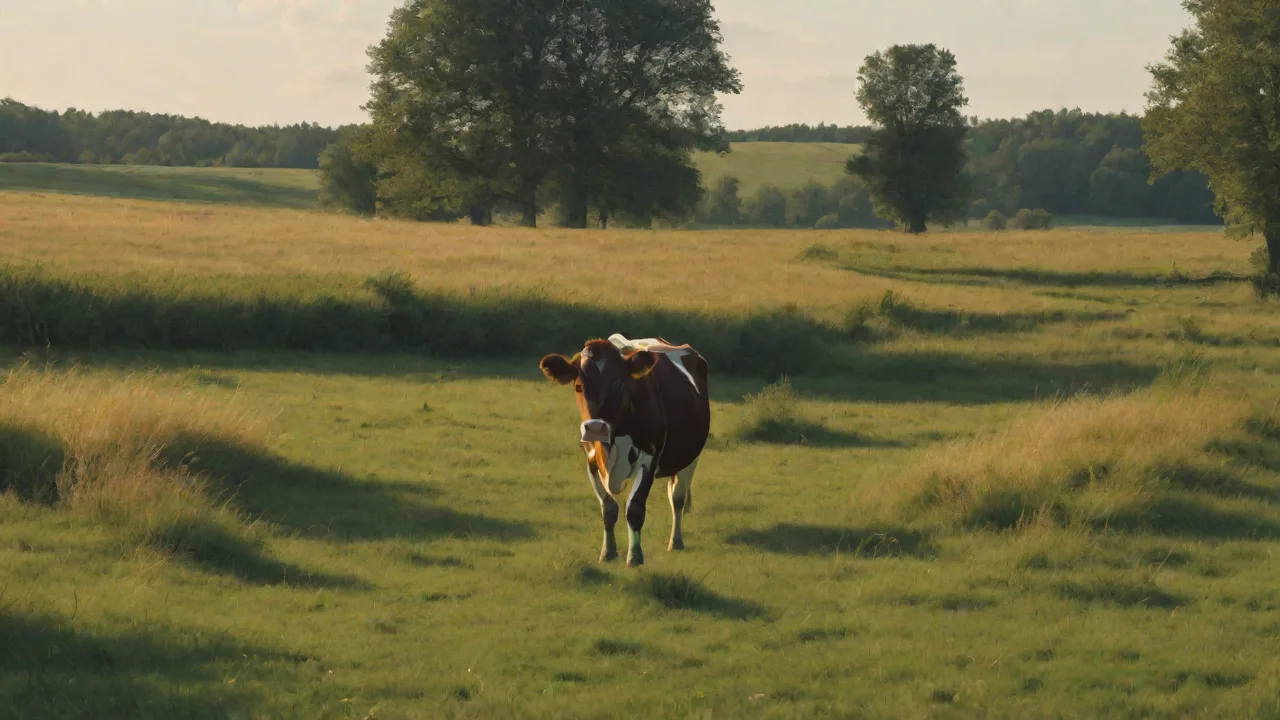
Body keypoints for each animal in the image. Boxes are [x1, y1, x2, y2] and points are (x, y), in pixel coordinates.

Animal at [539, 334, 710, 568]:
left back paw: (676, 541)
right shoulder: (591, 460)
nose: (595, 428)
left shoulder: (649, 459)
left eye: (619, 384)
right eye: (579, 386)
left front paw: (635, 556)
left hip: (690, 457)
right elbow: (608, 507)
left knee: (677, 497)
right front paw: (608, 553)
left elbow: (635, 508)